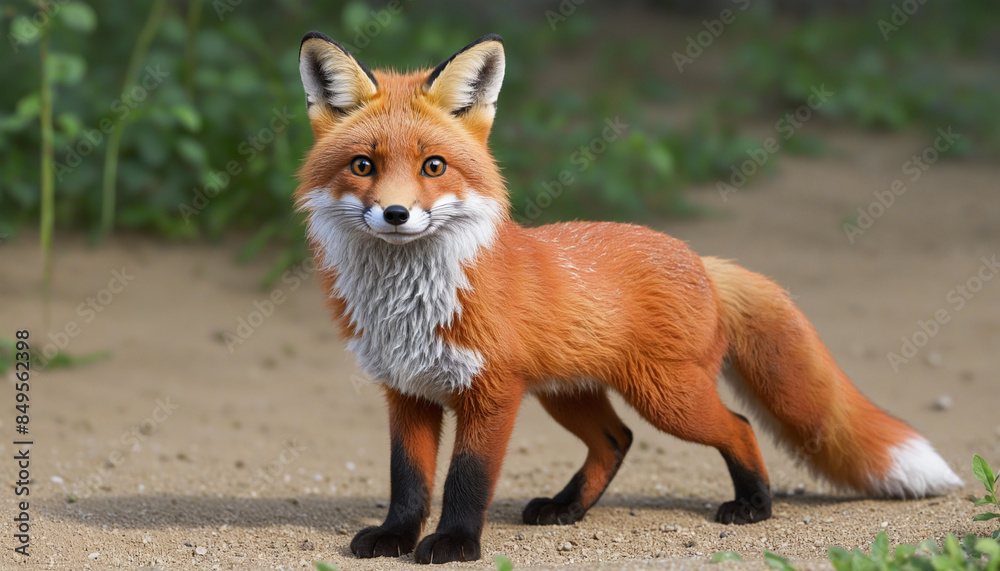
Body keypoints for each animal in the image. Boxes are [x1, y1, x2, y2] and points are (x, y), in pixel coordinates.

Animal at [294, 32, 963, 564]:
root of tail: (702, 260)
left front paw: (455, 543)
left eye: (433, 166)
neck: (411, 304)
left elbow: (467, 479)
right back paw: (566, 508)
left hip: (667, 397)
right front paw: (395, 536)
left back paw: (754, 504)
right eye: (362, 165)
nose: (396, 214)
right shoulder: (406, 390)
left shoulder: (492, 394)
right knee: (617, 441)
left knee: (737, 425)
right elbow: (408, 479)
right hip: (568, 394)